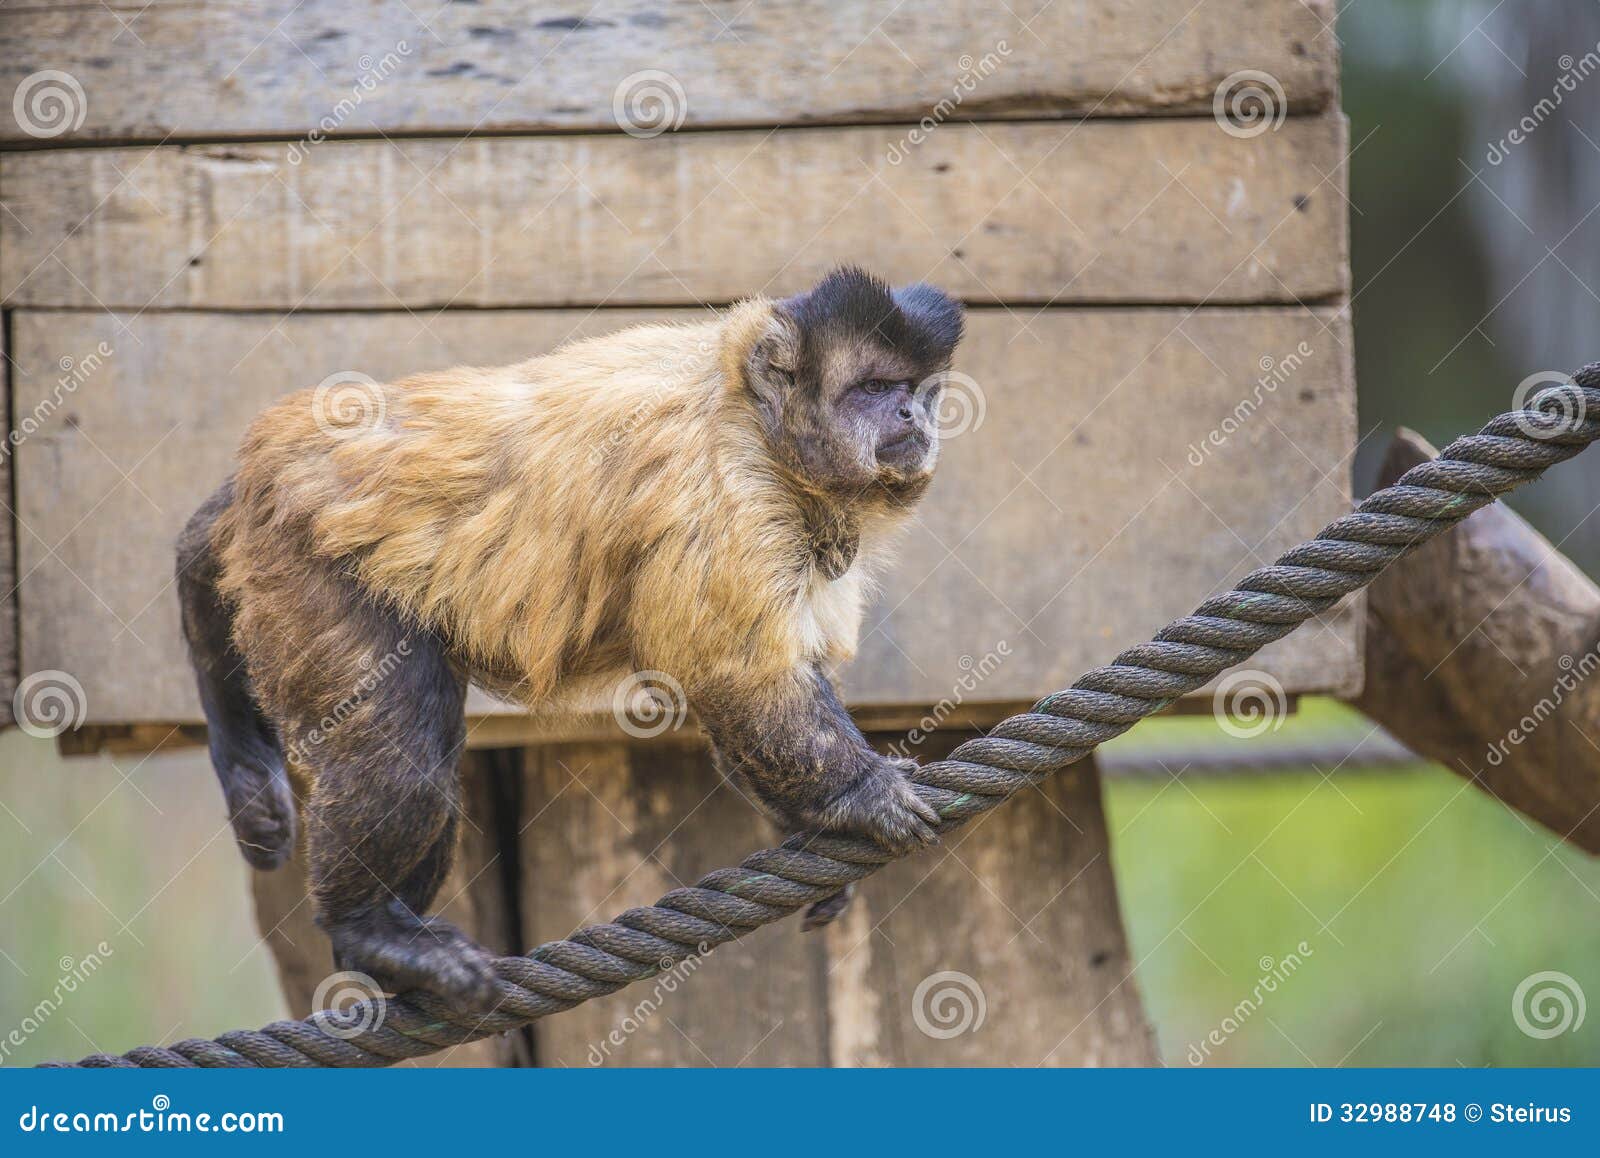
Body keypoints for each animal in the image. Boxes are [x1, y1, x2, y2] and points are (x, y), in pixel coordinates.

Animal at [176, 267, 965, 1006]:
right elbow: (739, 678)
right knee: (405, 733)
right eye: (873, 388)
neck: (754, 418)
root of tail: (273, 454)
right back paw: (366, 930)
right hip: (307, 558)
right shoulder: (727, 491)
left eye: (916, 391)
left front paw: (815, 829)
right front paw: (862, 795)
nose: (908, 413)